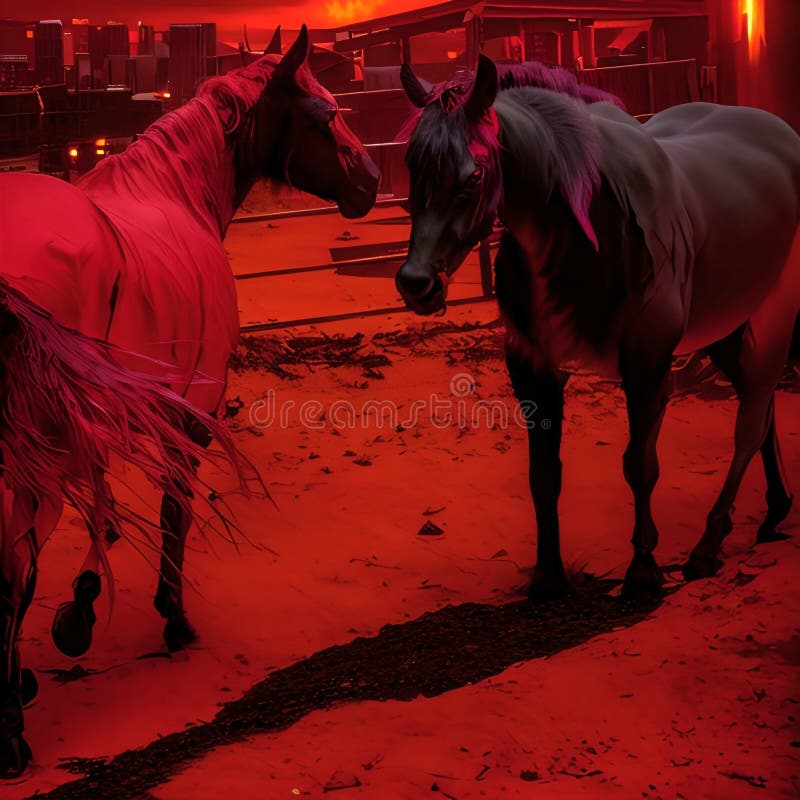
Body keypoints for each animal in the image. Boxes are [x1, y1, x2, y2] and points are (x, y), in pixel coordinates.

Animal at [0, 25, 379, 776]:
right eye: (325, 112)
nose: (371, 180)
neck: (176, 196)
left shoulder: (108, 409)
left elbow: (108, 501)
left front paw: (80, 610)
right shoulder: (194, 406)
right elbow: (174, 509)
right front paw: (170, 617)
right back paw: (12, 738)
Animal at [396, 55, 799, 603]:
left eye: (474, 172)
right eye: (411, 164)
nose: (417, 283)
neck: (581, 229)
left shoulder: (647, 367)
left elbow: (640, 465)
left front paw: (643, 570)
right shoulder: (533, 370)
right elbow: (543, 474)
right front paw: (548, 576)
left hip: (773, 318)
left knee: (750, 423)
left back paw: (707, 546)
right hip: (727, 327)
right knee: (761, 409)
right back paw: (775, 508)